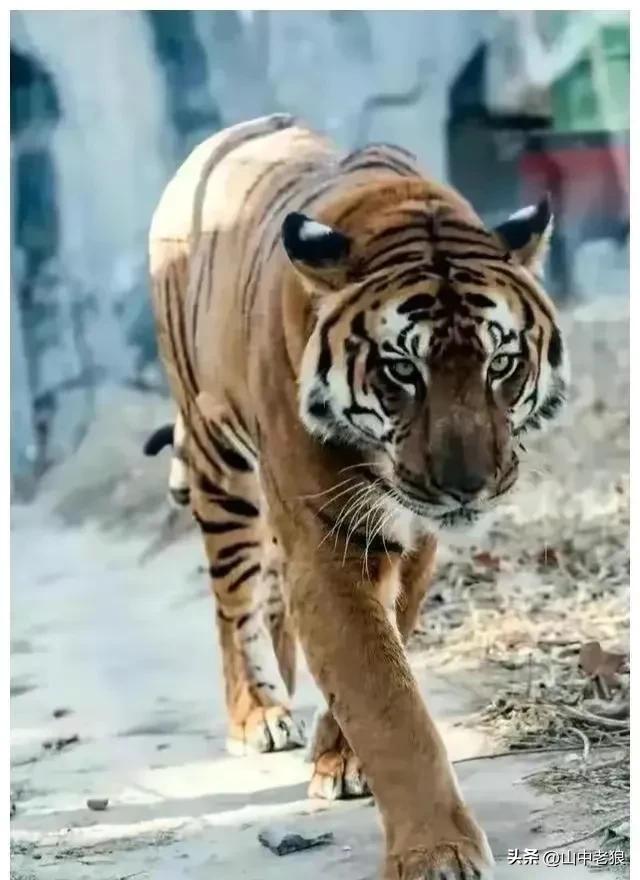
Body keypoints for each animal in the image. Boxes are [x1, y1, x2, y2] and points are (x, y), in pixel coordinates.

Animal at [146, 113, 568, 880]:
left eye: (501, 363)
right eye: (403, 370)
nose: (469, 484)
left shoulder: (414, 536)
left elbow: (385, 644)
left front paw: (341, 759)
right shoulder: (329, 537)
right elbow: (384, 696)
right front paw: (435, 851)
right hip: (221, 461)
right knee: (233, 598)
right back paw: (257, 714)